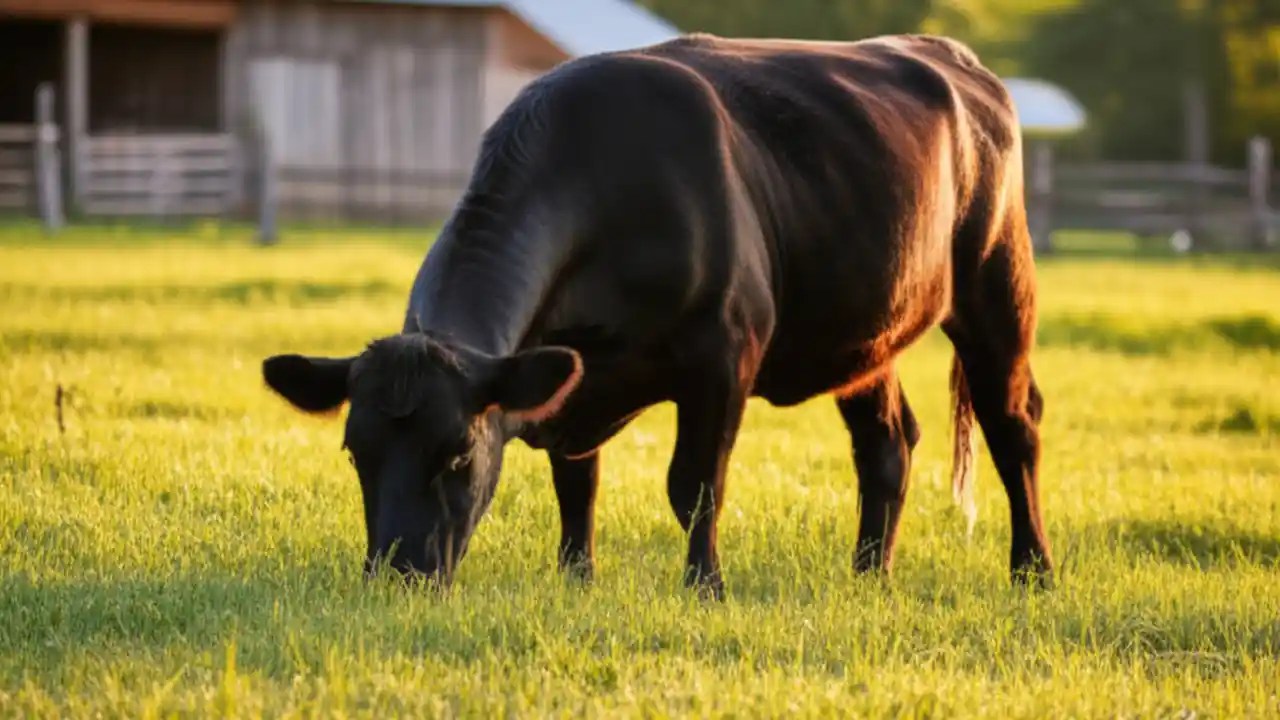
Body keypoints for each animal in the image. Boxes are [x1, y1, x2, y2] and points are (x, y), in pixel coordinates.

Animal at [262, 33, 1054, 598]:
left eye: (457, 453)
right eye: (356, 452)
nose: (399, 576)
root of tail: (948, 55)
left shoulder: (725, 354)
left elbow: (694, 486)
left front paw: (706, 588)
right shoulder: (570, 380)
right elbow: (576, 484)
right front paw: (576, 579)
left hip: (996, 281)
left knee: (1012, 427)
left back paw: (1033, 572)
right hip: (865, 330)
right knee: (886, 443)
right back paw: (868, 575)